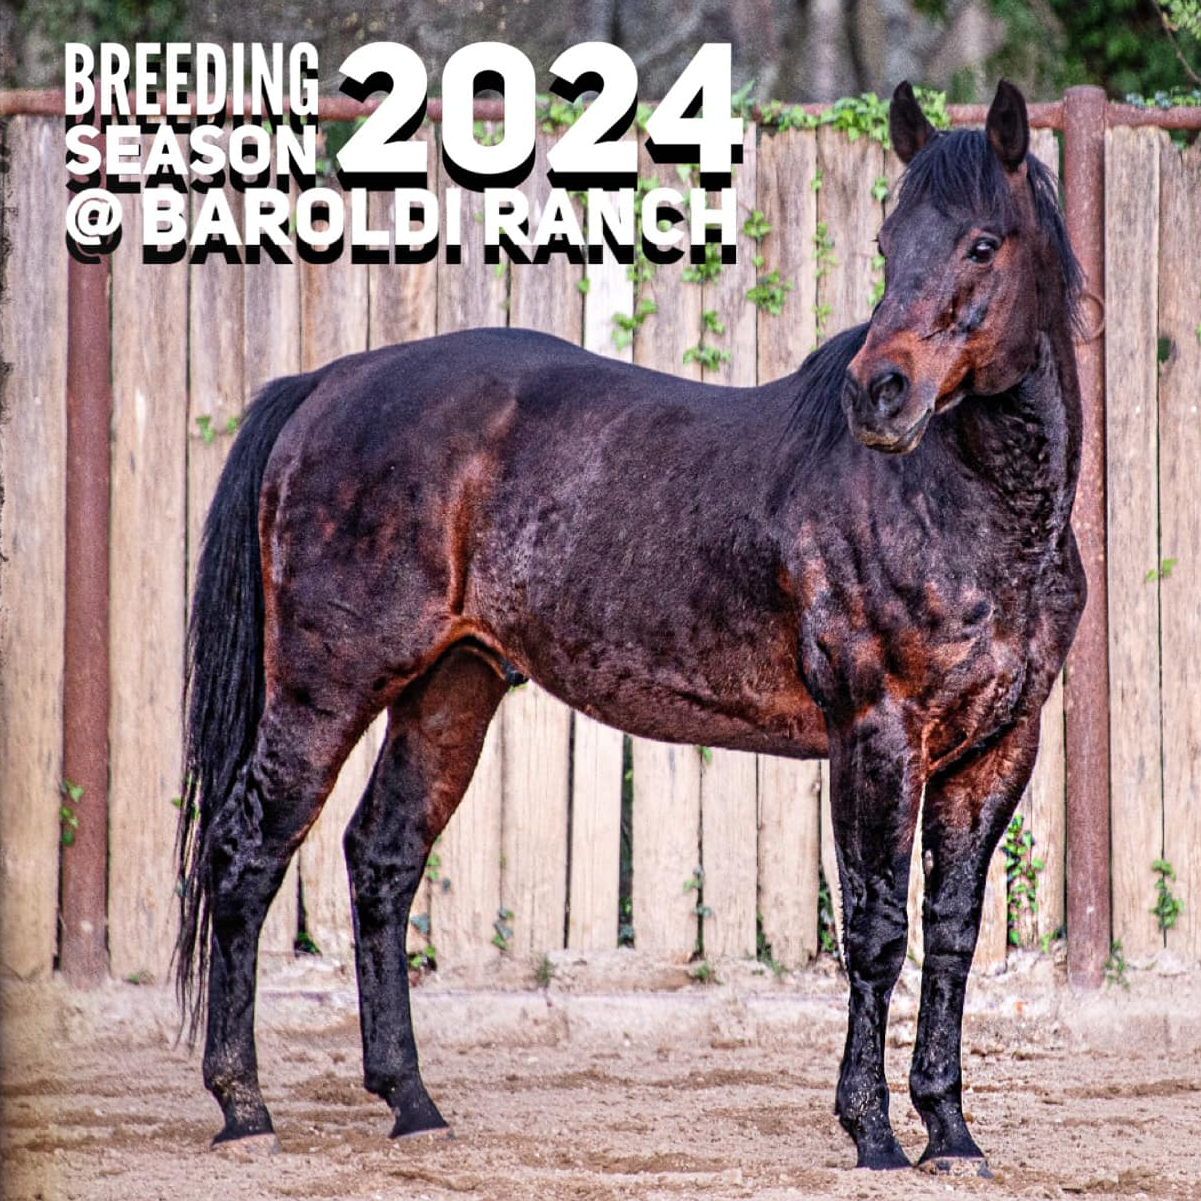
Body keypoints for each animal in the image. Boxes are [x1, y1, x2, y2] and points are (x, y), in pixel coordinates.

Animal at [176, 79, 1085, 1175]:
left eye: (982, 244)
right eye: (885, 240)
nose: (881, 394)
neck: (969, 508)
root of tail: (325, 387)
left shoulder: (996, 749)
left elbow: (951, 932)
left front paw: (949, 1132)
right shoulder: (874, 734)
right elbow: (874, 930)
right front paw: (871, 1132)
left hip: (451, 686)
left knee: (381, 859)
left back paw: (413, 1102)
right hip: (324, 688)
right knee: (247, 853)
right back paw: (243, 1106)